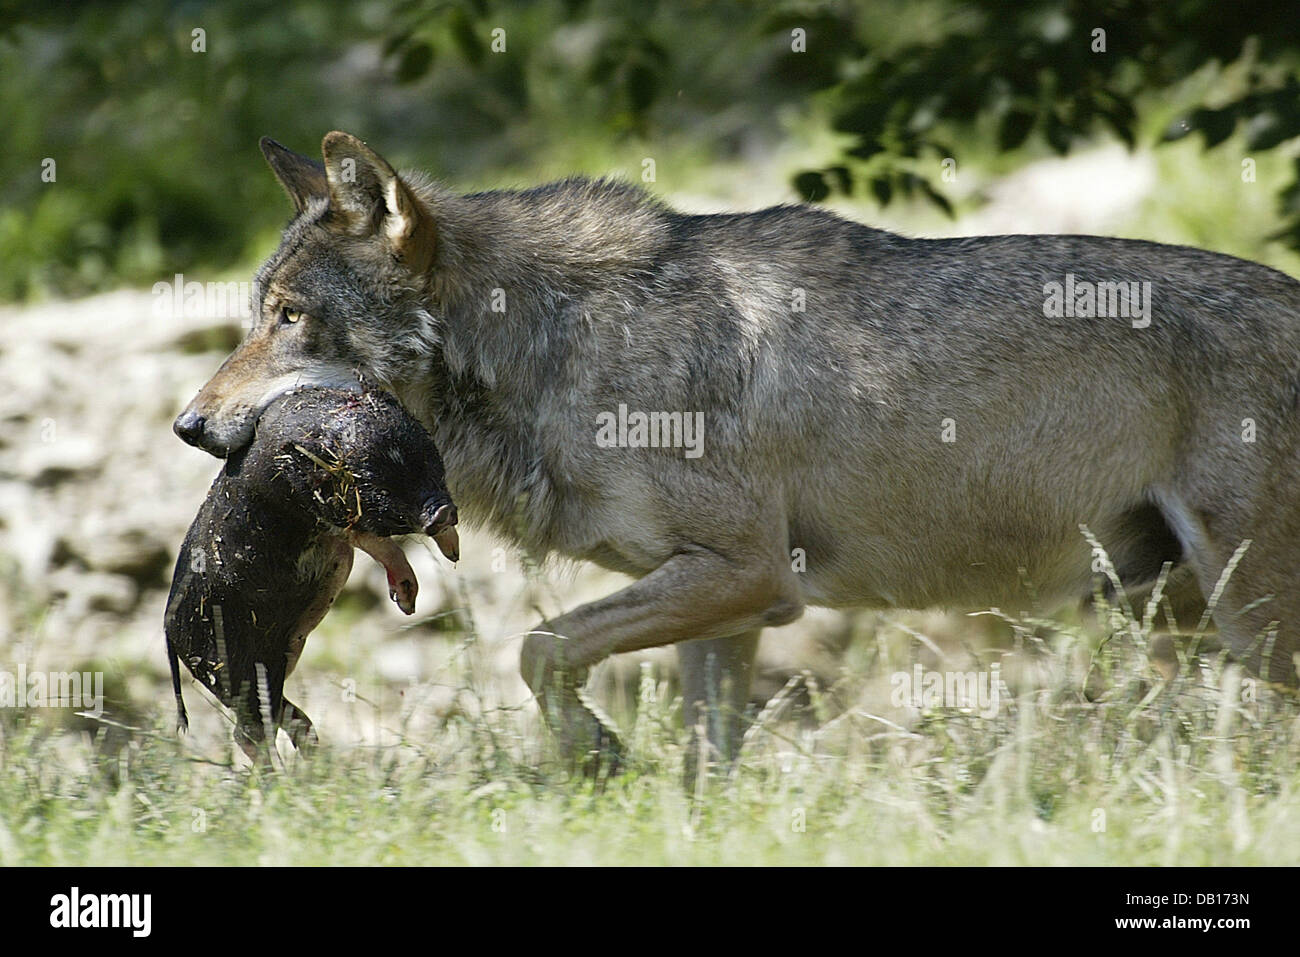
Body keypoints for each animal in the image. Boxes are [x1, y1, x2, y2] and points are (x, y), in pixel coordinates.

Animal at [175, 130, 1300, 774]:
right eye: (257, 312)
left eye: (287, 317)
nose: (188, 426)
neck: (556, 342)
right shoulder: (730, 604)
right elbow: (700, 757)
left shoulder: (746, 573)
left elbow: (539, 646)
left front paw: (594, 752)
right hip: (1181, 610)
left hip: (1247, 620)